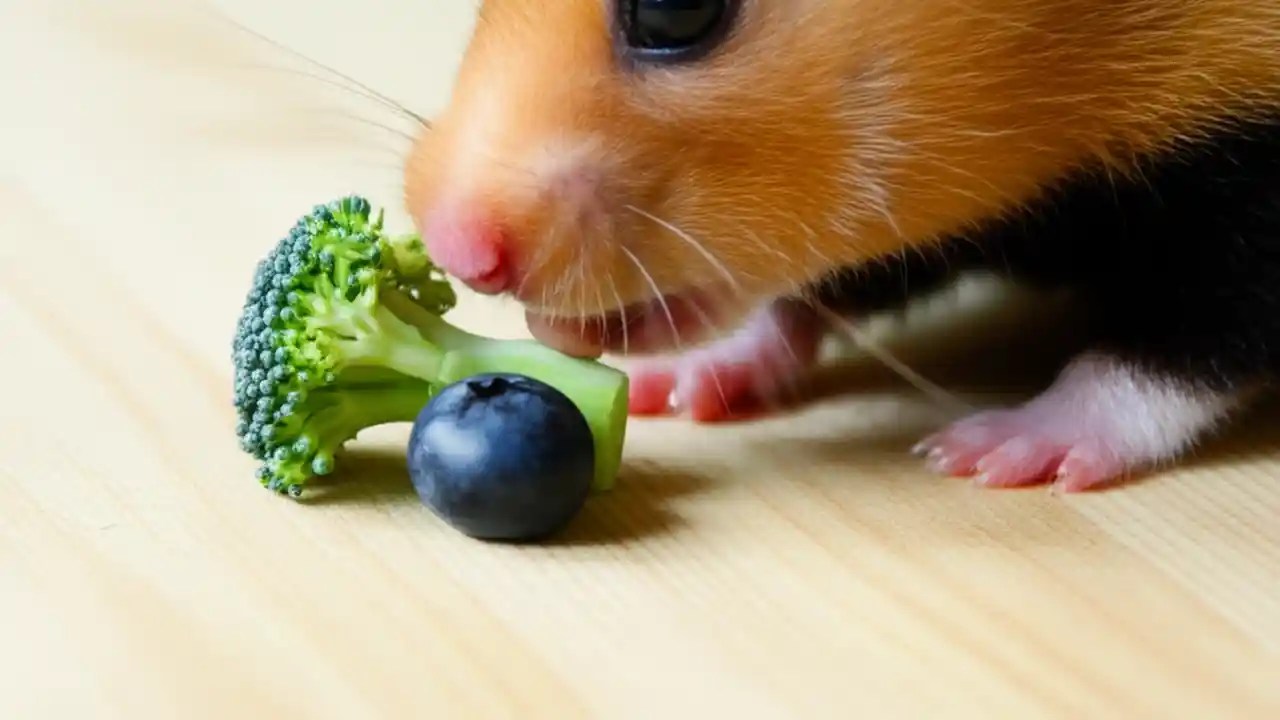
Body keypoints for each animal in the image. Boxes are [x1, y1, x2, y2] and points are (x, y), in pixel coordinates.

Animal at [402, 0, 1280, 492]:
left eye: (675, 11)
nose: (459, 251)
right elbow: (834, 283)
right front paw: (688, 383)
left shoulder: (1245, 190)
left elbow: (1185, 344)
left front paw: (1003, 446)